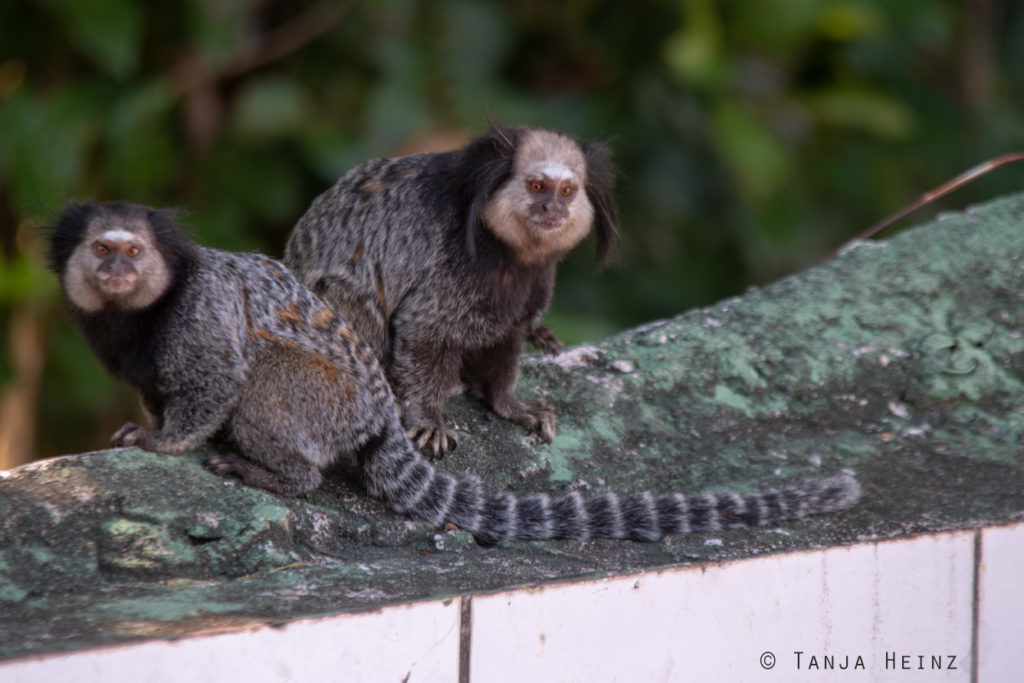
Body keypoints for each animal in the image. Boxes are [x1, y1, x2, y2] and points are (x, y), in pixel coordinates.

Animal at [49, 201, 861, 545]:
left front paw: (164, 443)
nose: (116, 269)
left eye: (131, 251)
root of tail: (379, 410)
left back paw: (273, 473)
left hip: (321, 396)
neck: (141, 310)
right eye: (101, 251)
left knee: (265, 385)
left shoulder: (200, 316)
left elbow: (218, 378)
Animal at [284, 125, 619, 457]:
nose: (553, 208)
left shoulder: (531, 285)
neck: (508, 252)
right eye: (537, 187)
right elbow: (423, 331)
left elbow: (508, 339)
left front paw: (508, 404)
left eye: (566, 191)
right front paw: (428, 418)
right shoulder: (454, 264)